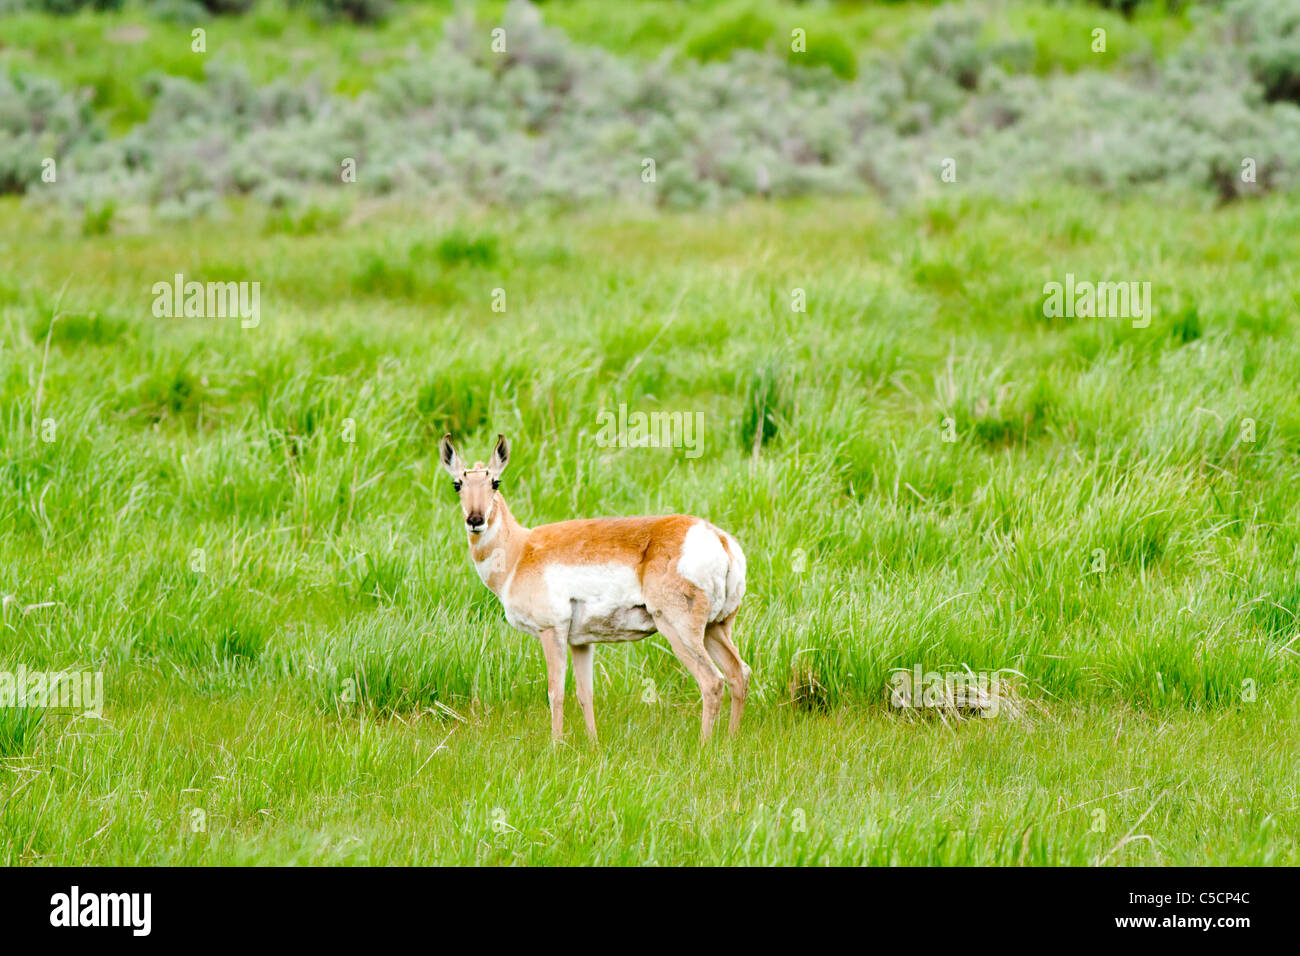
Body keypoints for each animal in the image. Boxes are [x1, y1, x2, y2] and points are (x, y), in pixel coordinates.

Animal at [439, 434, 749, 742]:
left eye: (495, 482)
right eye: (457, 484)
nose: (475, 520)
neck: (520, 550)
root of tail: (718, 539)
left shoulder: (551, 631)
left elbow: (556, 693)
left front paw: (555, 746)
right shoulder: (581, 642)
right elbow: (584, 694)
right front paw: (593, 743)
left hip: (679, 629)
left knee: (712, 681)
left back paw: (704, 745)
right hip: (716, 628)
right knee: (739, 673)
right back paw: (732, 740)